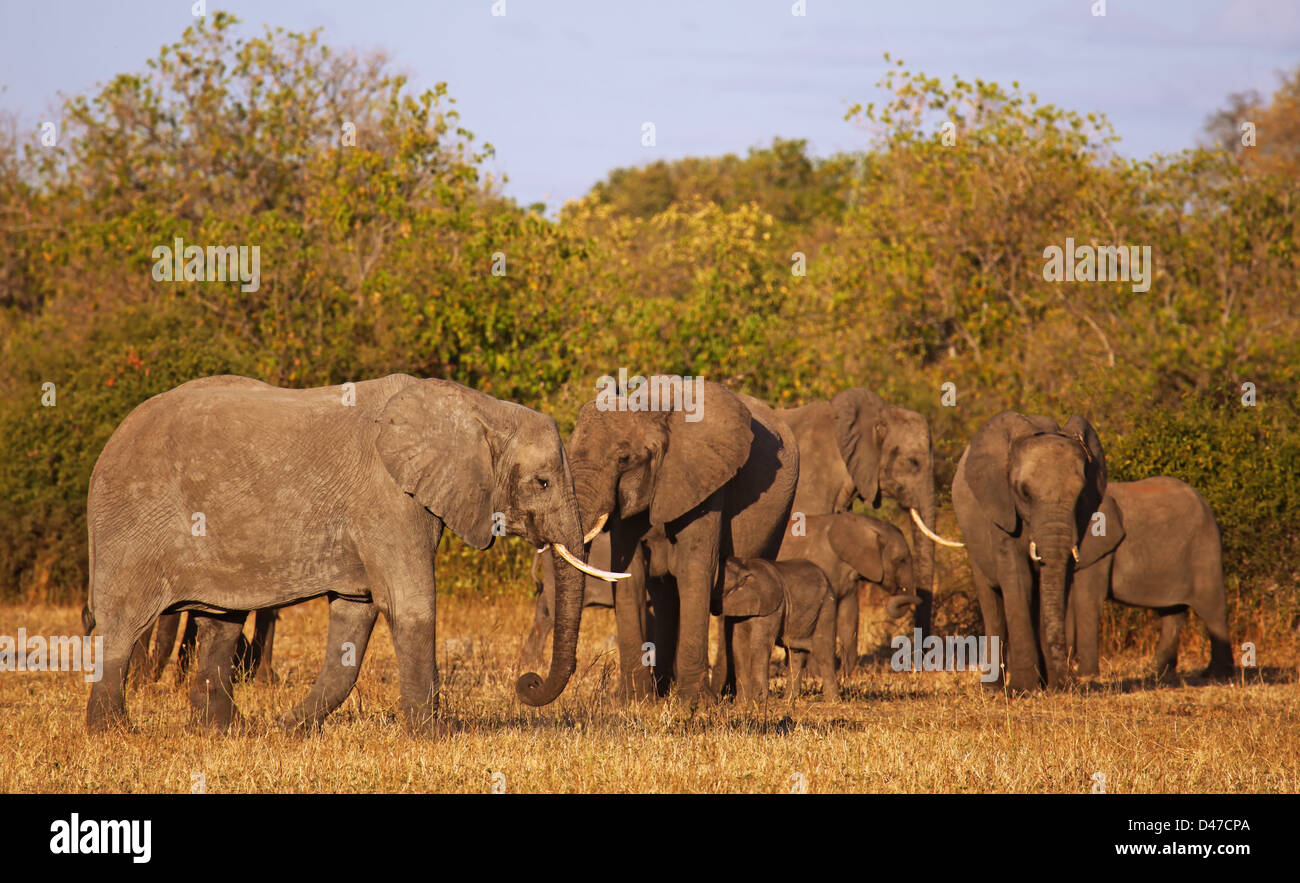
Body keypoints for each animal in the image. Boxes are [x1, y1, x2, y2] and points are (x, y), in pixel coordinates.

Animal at [83, 373, 624, 733]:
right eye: (543, 482)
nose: (526, 684)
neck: (476, 409)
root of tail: (110, 443)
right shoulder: (387, 498)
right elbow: (410, 605)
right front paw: (433, 736)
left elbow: (354, 619)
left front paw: (290, 728)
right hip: (130, 523)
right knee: (122, 626)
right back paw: (114, 733)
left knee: (220, 622)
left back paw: (230, 730)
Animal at [566, 379, 799, 702]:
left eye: (624, 459)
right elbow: (630, 575)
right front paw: (633, 701)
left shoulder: (706, 480)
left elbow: (694, 568)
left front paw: (695, 704)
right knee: (665, 595)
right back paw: (666, 688)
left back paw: (725, 693)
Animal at [714, 558, 839, 705]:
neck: (744, 568)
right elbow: (739, 645)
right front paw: (741, 704)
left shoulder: (773, 609)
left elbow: (760, 644)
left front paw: (759, 701)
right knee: (795, 653)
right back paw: (788, 701)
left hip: (827, 607)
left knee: (823, 652)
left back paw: (833, 702)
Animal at [951, 411, 1110, 692]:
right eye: (1024, 492)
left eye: (1080, 494)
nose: (1067, 683)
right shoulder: (1001, 509)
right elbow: (1018, 578)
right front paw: (1023, 689)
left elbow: (1057, 581)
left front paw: (1052, 686)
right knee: (992, 601)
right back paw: (993, 687)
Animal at [1066, 477, 1233, 679]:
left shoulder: (1100, 546)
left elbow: (1087, 600)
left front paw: (1086, 675)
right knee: (1172, 613)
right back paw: (1156, 672)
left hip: (1205, 551)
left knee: (1212, 611)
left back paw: (1215, 675)